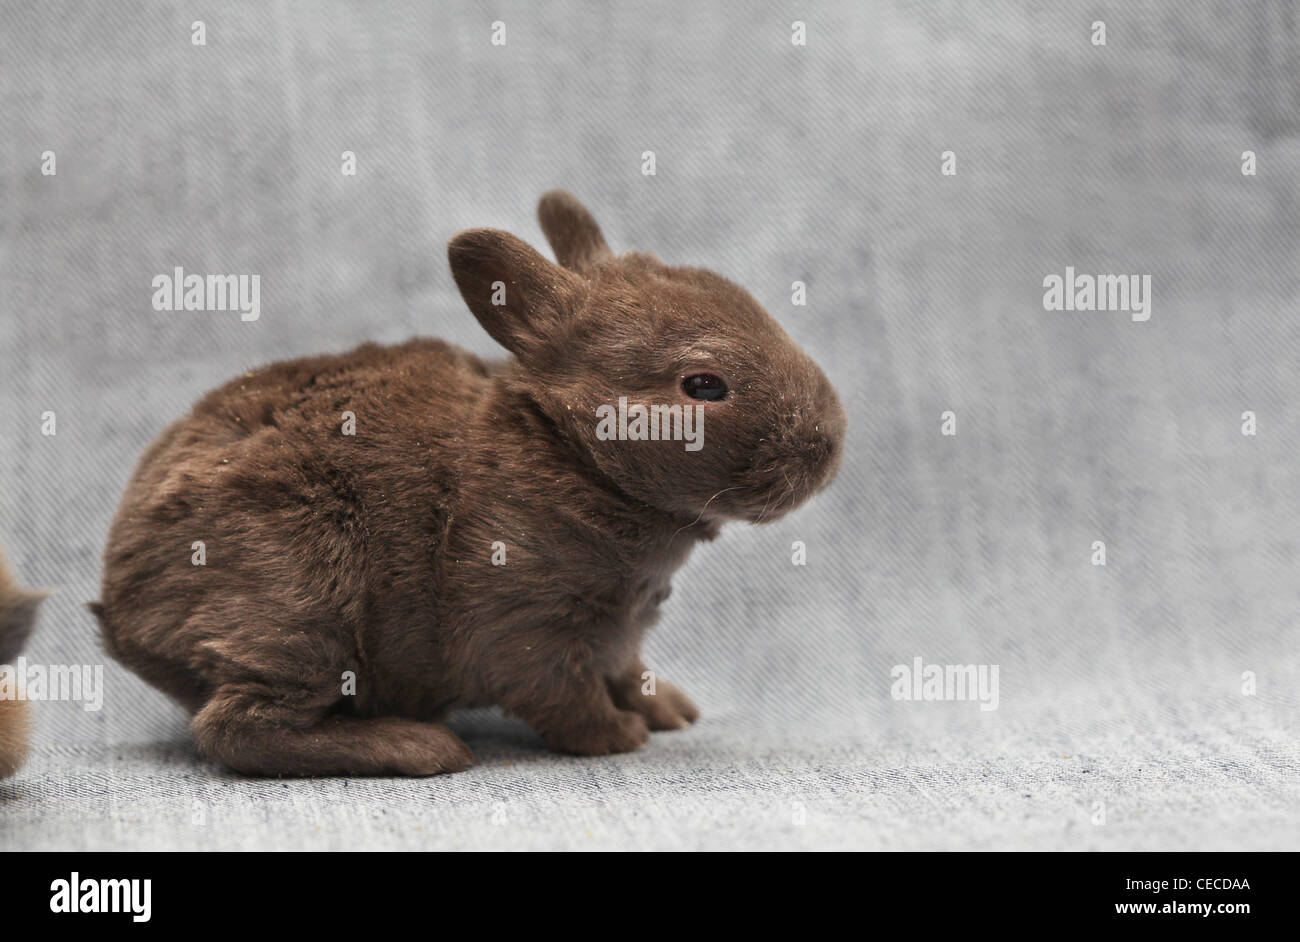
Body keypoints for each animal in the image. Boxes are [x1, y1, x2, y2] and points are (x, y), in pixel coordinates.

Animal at [94, 191, 845, 777]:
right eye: (704, 386)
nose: (829, 444)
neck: (571, 454)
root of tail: (124, 612)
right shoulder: (524, 624)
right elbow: (564, 695)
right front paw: (618, 738)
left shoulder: (620, 631)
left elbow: (628, 668)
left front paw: (670, 711)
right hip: (300, 607)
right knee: (236, 728)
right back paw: (421, 747)